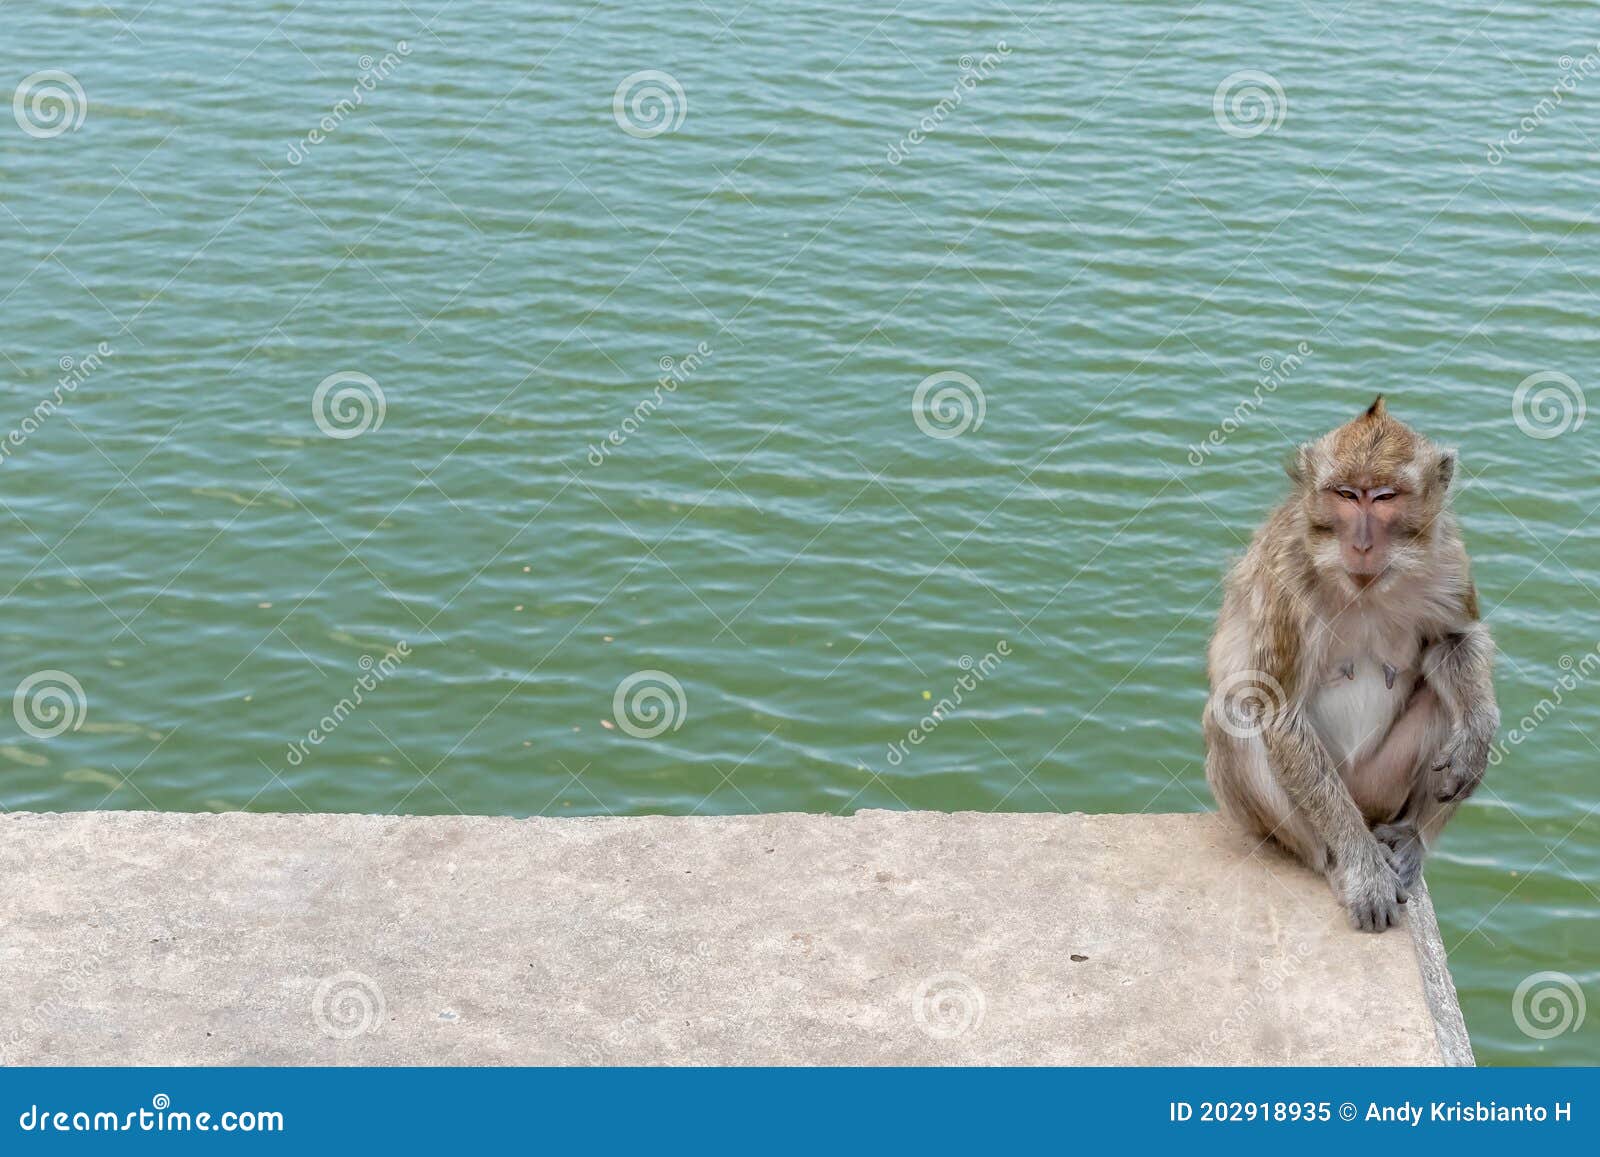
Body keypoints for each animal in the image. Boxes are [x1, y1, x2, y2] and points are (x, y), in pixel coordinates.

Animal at [1203, 396, 1498, 932]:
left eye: (1383, 497)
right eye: (1345, 495)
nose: (1361, 543)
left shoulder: (1446, 556)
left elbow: (1453, 642)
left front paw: (1477, 737)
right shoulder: (1288, 577)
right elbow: (1277, 707)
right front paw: (1363, 874)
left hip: (1382, 789)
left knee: (1442, 703)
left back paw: (1410, 839)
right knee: (1234, 711)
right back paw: (1339, 861)